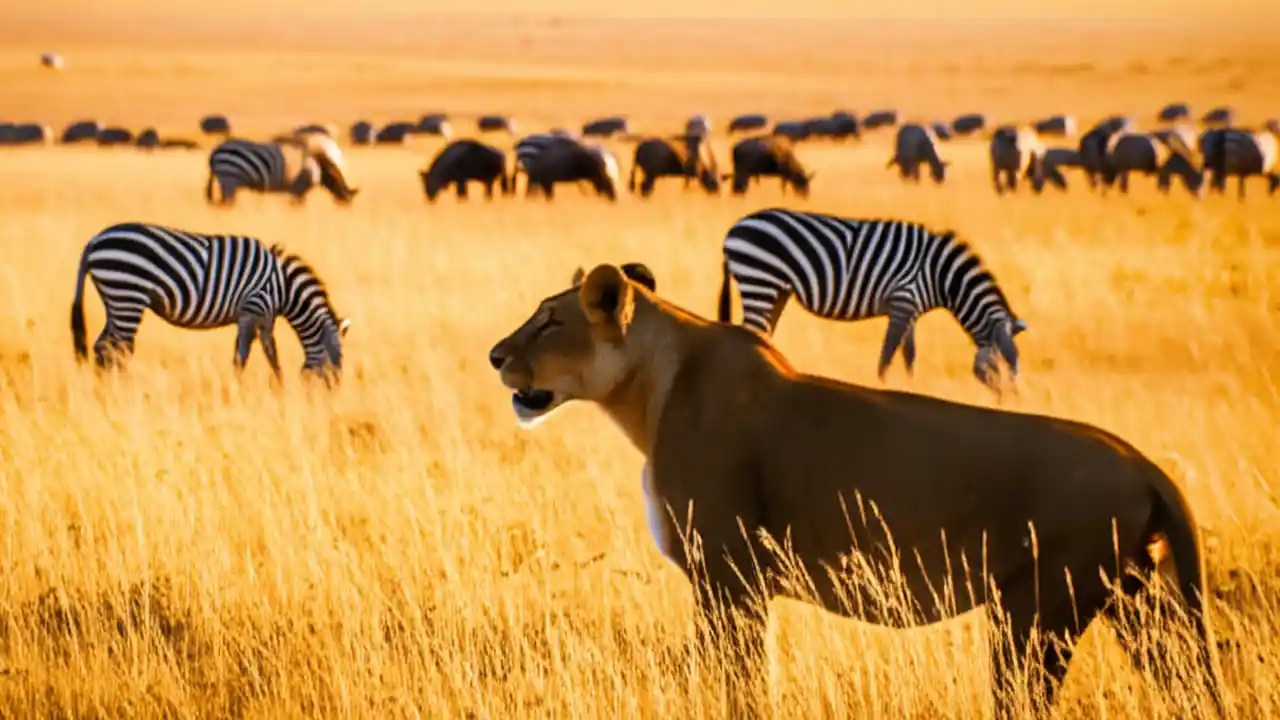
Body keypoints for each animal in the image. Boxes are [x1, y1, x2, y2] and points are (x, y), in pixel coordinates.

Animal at [70, 222, 350, 380]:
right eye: (336, 364)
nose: (332, 397)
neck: (284, 288)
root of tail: (94, 240)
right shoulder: (254, 308)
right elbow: (249, 354)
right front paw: (242, 387)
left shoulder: (260, 317)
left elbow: (266, 353)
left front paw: (275, 387)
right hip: (127, 294)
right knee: (118, 349)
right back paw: (123, 390)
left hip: (115, 300)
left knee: (102, 347)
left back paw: (105, 389)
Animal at [206, 136, 357, 205]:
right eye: (347, 196)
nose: (346, 207)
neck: (318, 166)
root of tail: (215, 152)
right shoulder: (298, 187)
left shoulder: (298, 190)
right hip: (229, 179)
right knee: (226, 204)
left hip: (227, 181)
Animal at [488, 263, 1224, 717]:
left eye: (550, 321)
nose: (495, 356)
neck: (650, 392)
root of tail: (1144, 463)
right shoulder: (739, 581)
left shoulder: (728, 576)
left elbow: (738, 682)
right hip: (1138, 603)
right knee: (1186, 684)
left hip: (1035, 613)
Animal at [717, 208, 1027, 390]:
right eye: (1005, 368)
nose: (1011, 399)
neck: (942, 275)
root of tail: (734, 228)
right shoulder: (903, 300)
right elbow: (887, 353)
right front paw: (883, 386)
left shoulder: (911, 309)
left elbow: (909, 355)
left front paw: (912, 387)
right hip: (759, 279)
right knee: (752, 330)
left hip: (776, 289)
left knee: (763, 333)